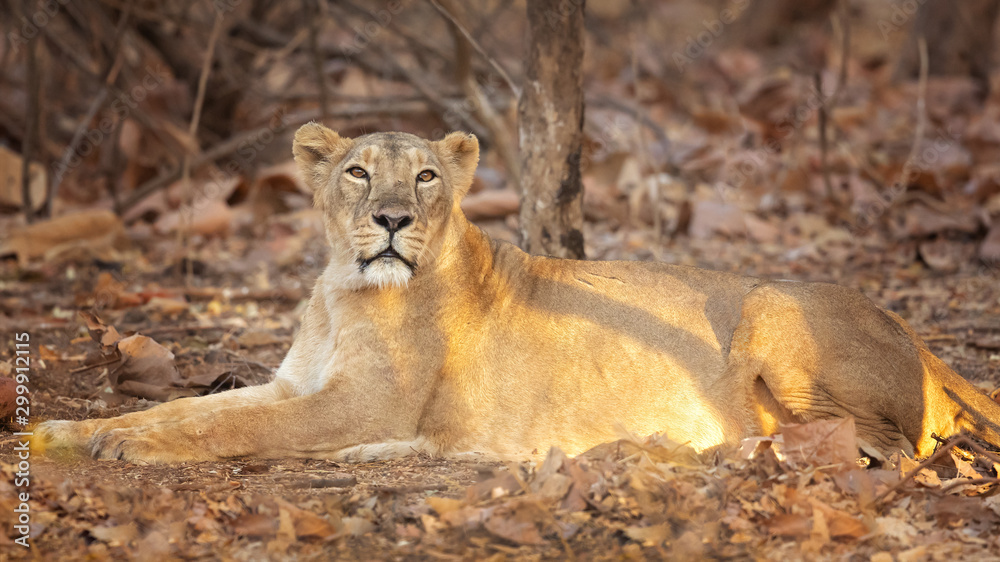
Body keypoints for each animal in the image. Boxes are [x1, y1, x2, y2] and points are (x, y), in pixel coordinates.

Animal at [36, 124, 1000, 464]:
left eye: (426, 176)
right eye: (357, 172)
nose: (391, 218)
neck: (341, 292)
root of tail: (921, 341)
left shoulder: (357, 403)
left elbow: (229, 429)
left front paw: (123, 451)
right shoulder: (296, 385)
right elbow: (185, 411)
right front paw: (57, 436)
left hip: (769, 311)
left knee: (881, 449)